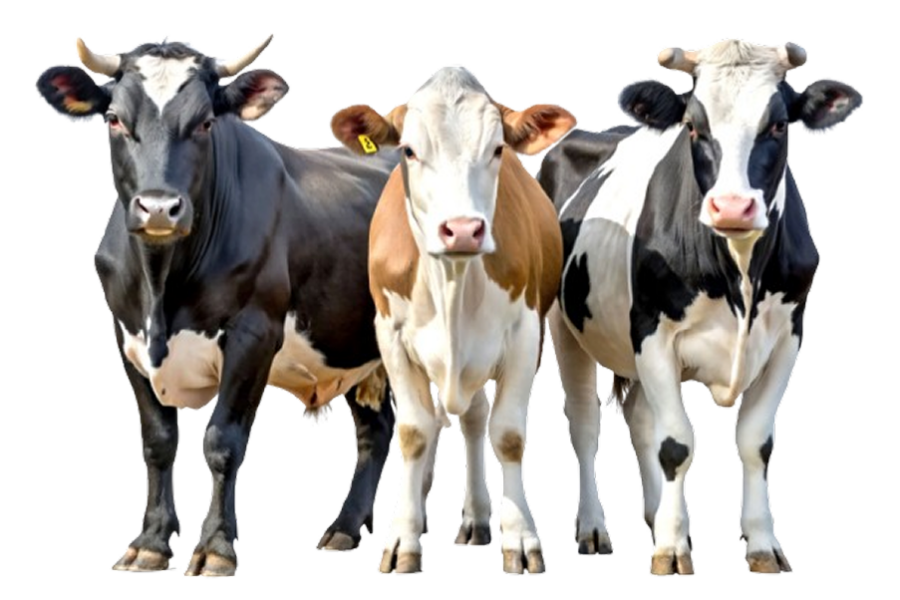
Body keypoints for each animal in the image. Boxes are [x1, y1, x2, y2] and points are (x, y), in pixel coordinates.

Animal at [35, 34, 399, 577]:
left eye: (206, 122)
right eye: (114, 119)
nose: (159, 207)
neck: (162, 288)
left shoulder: (255, 335)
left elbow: (222, 442)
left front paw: (215, 548)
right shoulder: (127, 339)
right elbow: (158, 442)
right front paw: (150, 542)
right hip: (354, 345)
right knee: (376, 431)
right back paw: (344, 529)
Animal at [328, 65, 573, 575]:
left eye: (497, 149)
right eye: (408, 150)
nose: (462, 230)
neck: (453, 282)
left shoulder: (526, 336)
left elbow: (509, 435)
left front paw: (520, 538)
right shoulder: (391, 338)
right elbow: (414, 433)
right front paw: (402, 539)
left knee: (476, 419)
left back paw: (477, 518)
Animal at [537, 37, 863, 576]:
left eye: (778, 124)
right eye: (694, 126)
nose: (731, 207)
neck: (739, 275)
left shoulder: (788, 338)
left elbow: (755, 442)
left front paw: (762, 545)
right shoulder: (653, 334)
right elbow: (676, 445)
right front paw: (672, 550)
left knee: (637, 417)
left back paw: (655, 514)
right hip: (566, 330)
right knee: (584, 426)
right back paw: (594, 529)